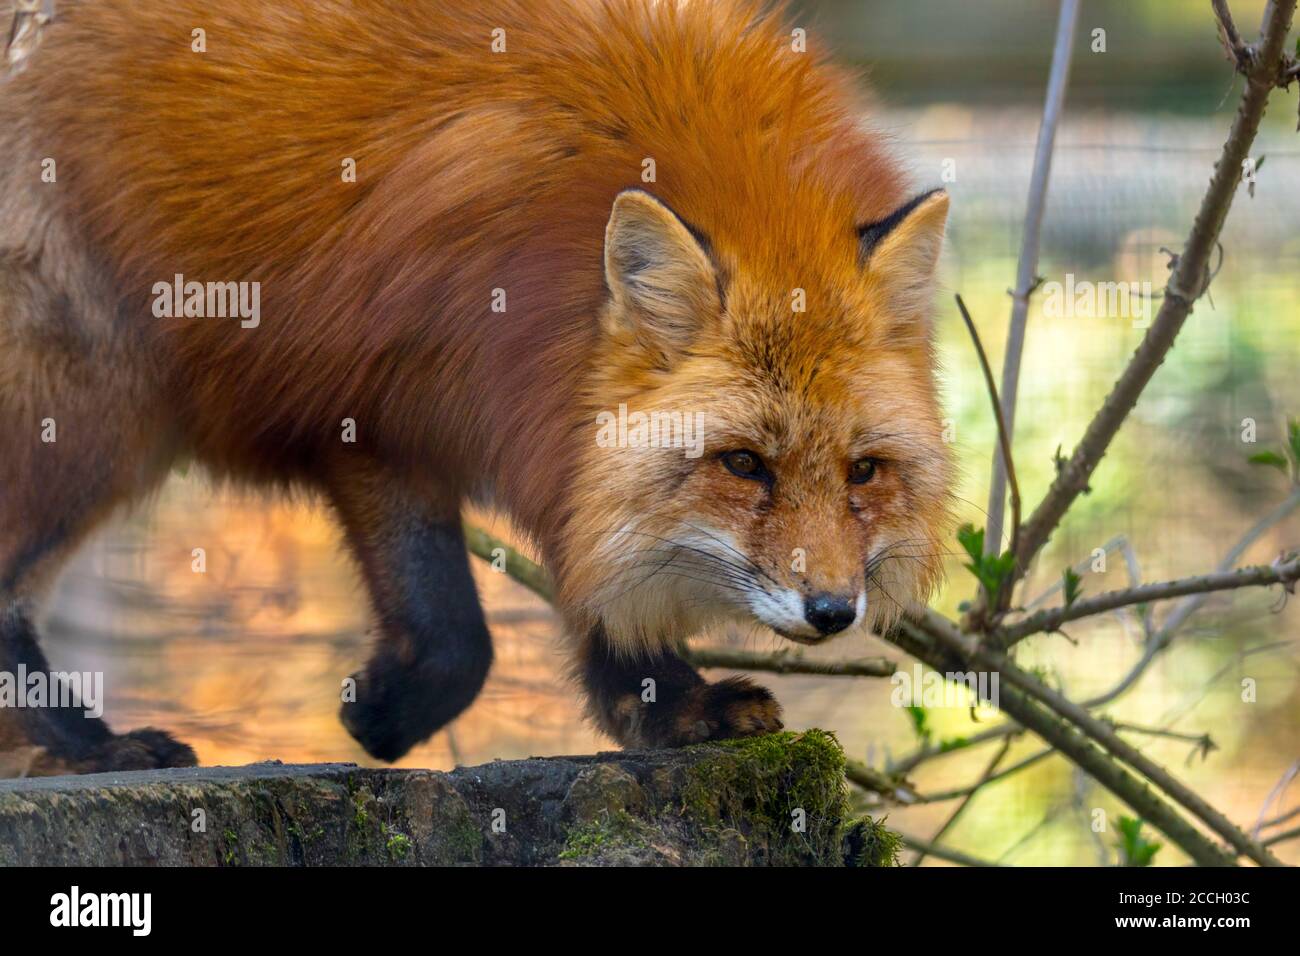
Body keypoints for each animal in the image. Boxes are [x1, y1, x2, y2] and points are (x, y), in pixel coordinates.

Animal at [0, 0, 953, 774]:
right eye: (745, 464)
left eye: (865, 472)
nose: (831, 610)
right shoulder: (368, 401)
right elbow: (461, 634)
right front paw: (388, 718)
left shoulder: (528, 436)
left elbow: (569, 602)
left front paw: (663, 708)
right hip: (92, 410)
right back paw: (85, 747)